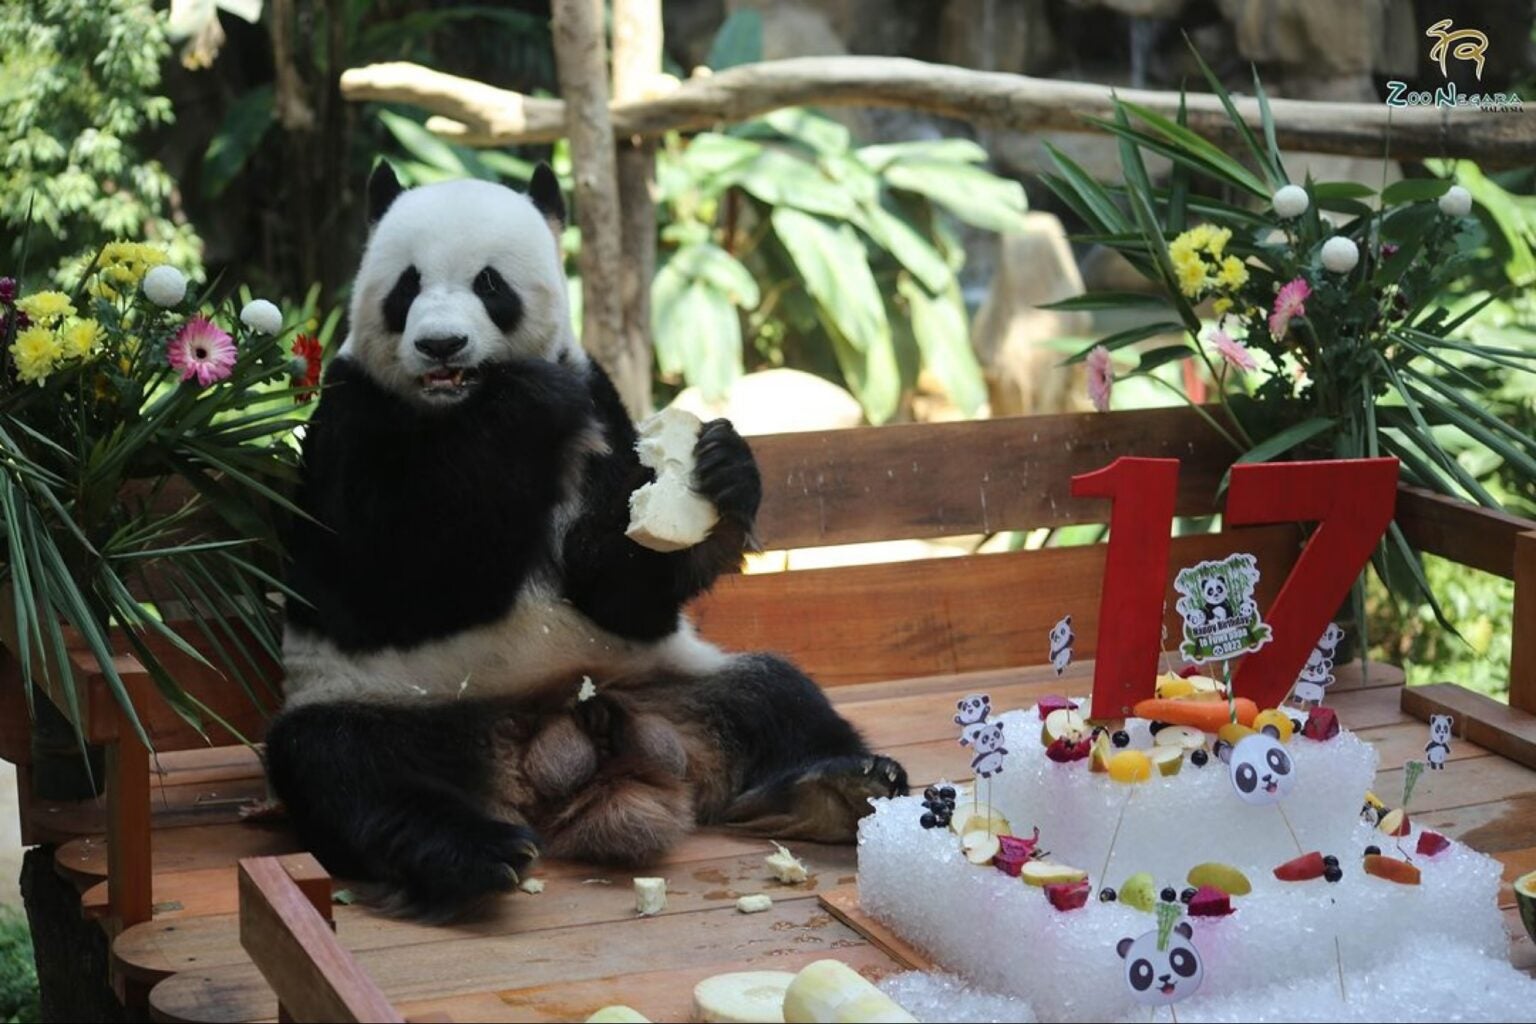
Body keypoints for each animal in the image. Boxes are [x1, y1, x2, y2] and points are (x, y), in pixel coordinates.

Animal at [263, 163, 908, 919]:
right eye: (406, 287)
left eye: (490, 285)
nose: (440, 345)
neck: (456, 409)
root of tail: (557, 740)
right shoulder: (351, 416)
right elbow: (376, 581)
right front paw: (524, 408)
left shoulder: (603, 405)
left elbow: (621, 592)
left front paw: (722, 472)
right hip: (392, 702)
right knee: (341, 765)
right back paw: (473, 852)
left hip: (668, 682)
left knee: (777, 694)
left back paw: (840, 786)